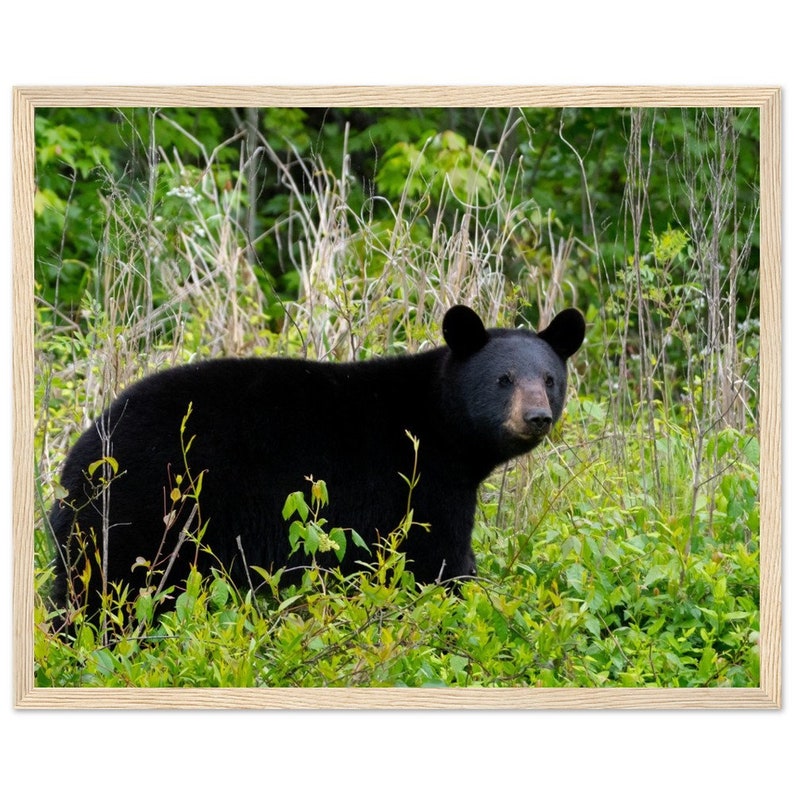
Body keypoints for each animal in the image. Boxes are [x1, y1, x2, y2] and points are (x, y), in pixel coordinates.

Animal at [48, 304, 585, 626]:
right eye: (504, 379)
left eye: (549, 379)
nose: (536, 417)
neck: (442, 422)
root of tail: (77, 464)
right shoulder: (420, 480)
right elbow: (438, 559)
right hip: (144, 510)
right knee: (108, 588)